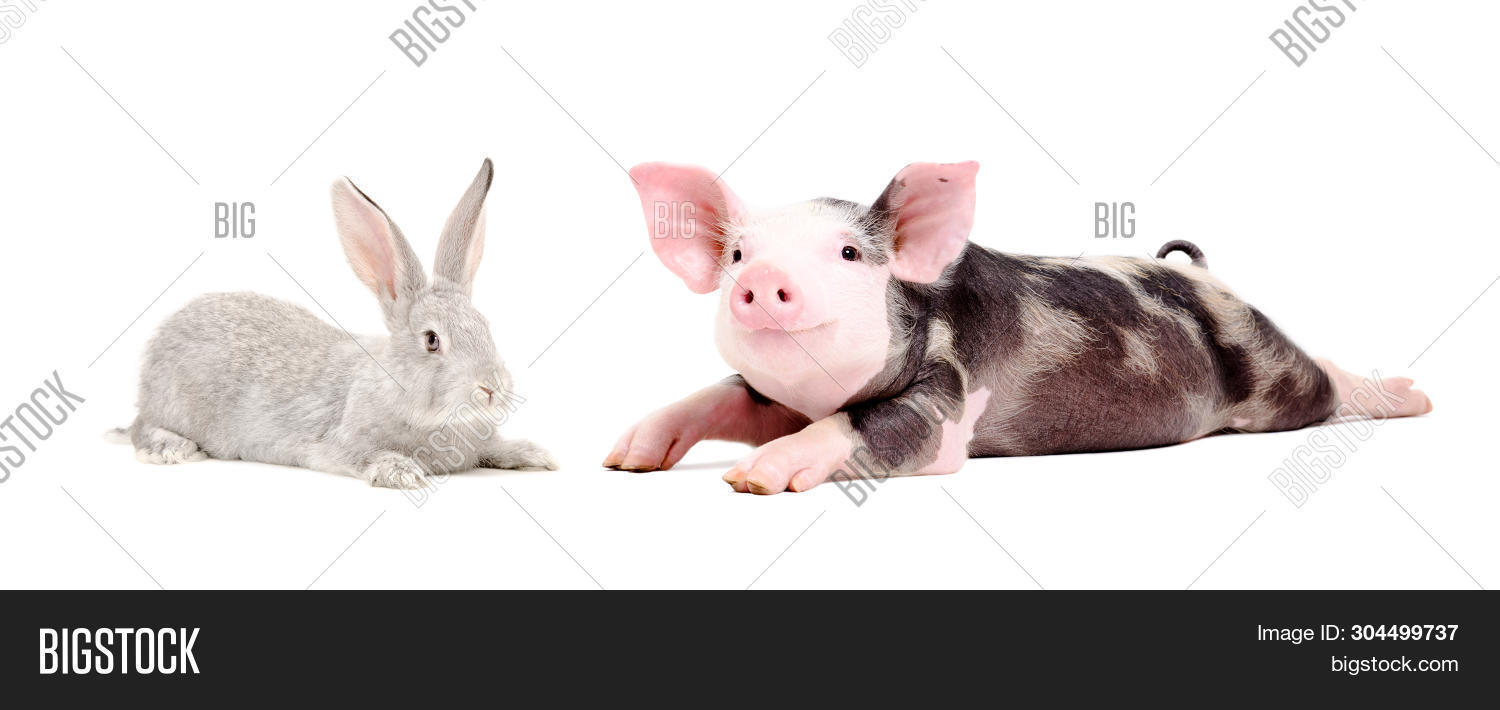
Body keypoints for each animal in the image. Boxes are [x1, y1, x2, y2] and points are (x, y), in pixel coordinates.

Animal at [122, 158, 557, 488]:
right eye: (432, 340)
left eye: (486, 326)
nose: (491, 389)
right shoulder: (343, 443)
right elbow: (365, 456)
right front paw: (402, 472)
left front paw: (535, 454)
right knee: (140, 427)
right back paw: (170, 449)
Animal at [603, 162, 1432, 494]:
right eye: (739, 254)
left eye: (848, 254)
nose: (762, 281)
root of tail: (1206, 277)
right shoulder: (777, 394)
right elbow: (727, 393)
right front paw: (626, 458)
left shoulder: (947, 398)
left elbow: (871, 424)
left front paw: (755, 477)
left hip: (1270, 371)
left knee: (1325, 383)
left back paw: (1414, 397)